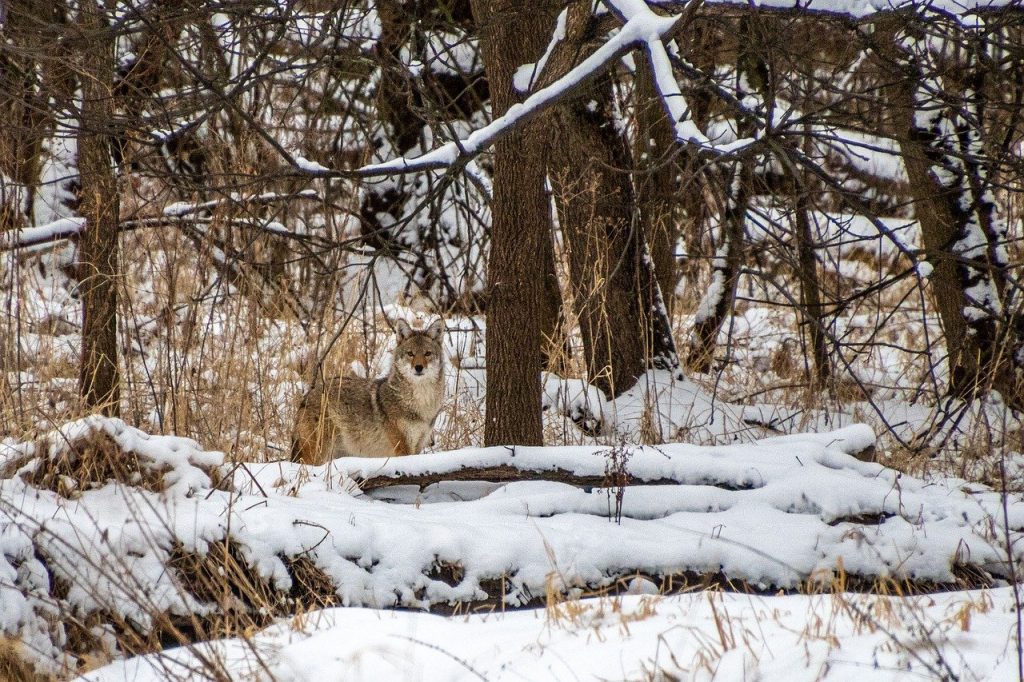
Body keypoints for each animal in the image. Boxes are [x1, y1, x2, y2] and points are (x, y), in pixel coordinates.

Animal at [290, 319, 445, 465]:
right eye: (410, 354)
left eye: (427, 353)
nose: (418, 367)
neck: (422, 403)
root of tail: (306, 396)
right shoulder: (402, 448)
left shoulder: (418, 446)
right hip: (317, 454)